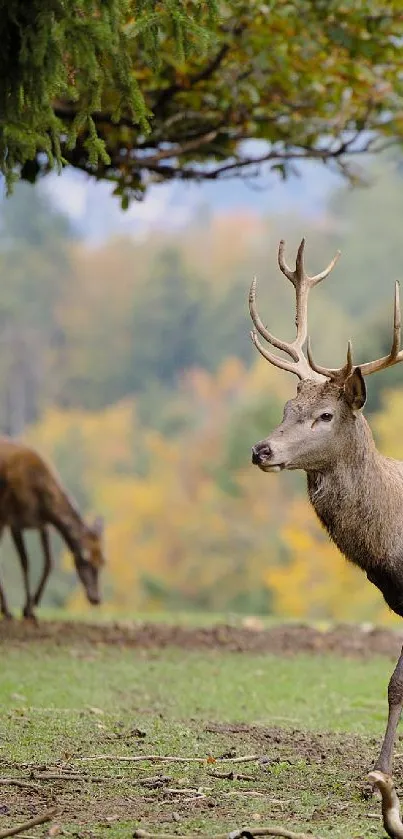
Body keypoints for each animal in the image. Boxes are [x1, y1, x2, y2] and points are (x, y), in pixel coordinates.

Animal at [0, 437, 105, 621]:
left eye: (102, 562)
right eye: (86, 561)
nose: (96, 598)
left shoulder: (43, 525)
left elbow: (49, 562)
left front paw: (32, 606)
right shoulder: (14, 519)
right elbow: (25, 563)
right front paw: (27, 609)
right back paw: (6, 611)